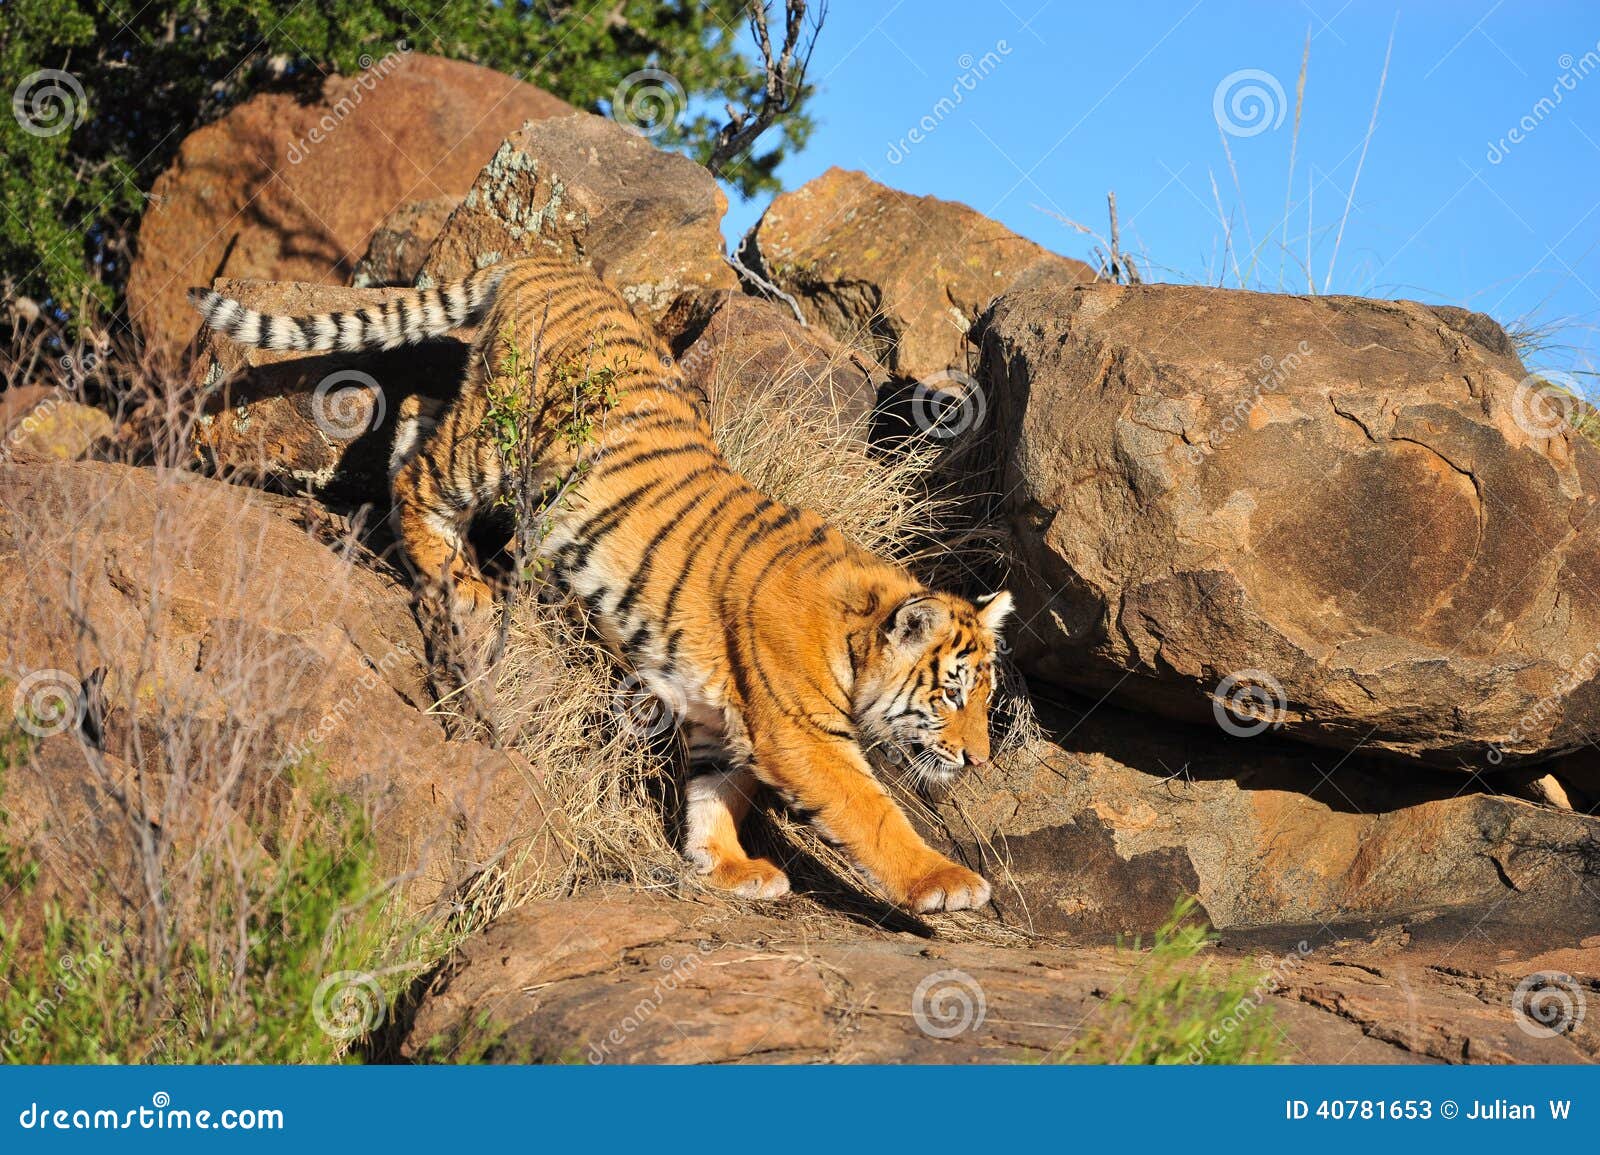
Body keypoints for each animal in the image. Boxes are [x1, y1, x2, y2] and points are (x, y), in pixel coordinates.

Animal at [189, 251, 1013, 913]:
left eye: (987, 700)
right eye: (951, 695)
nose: (979, 762)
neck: (853, 636)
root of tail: (549, 259)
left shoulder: (726, 718)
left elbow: (716, 792)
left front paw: (726, 867)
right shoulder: (803, 734)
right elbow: (871, 811)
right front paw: (947, 884)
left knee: (419, 413)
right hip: (500, 437)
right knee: (426, 473)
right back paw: (461, 579)